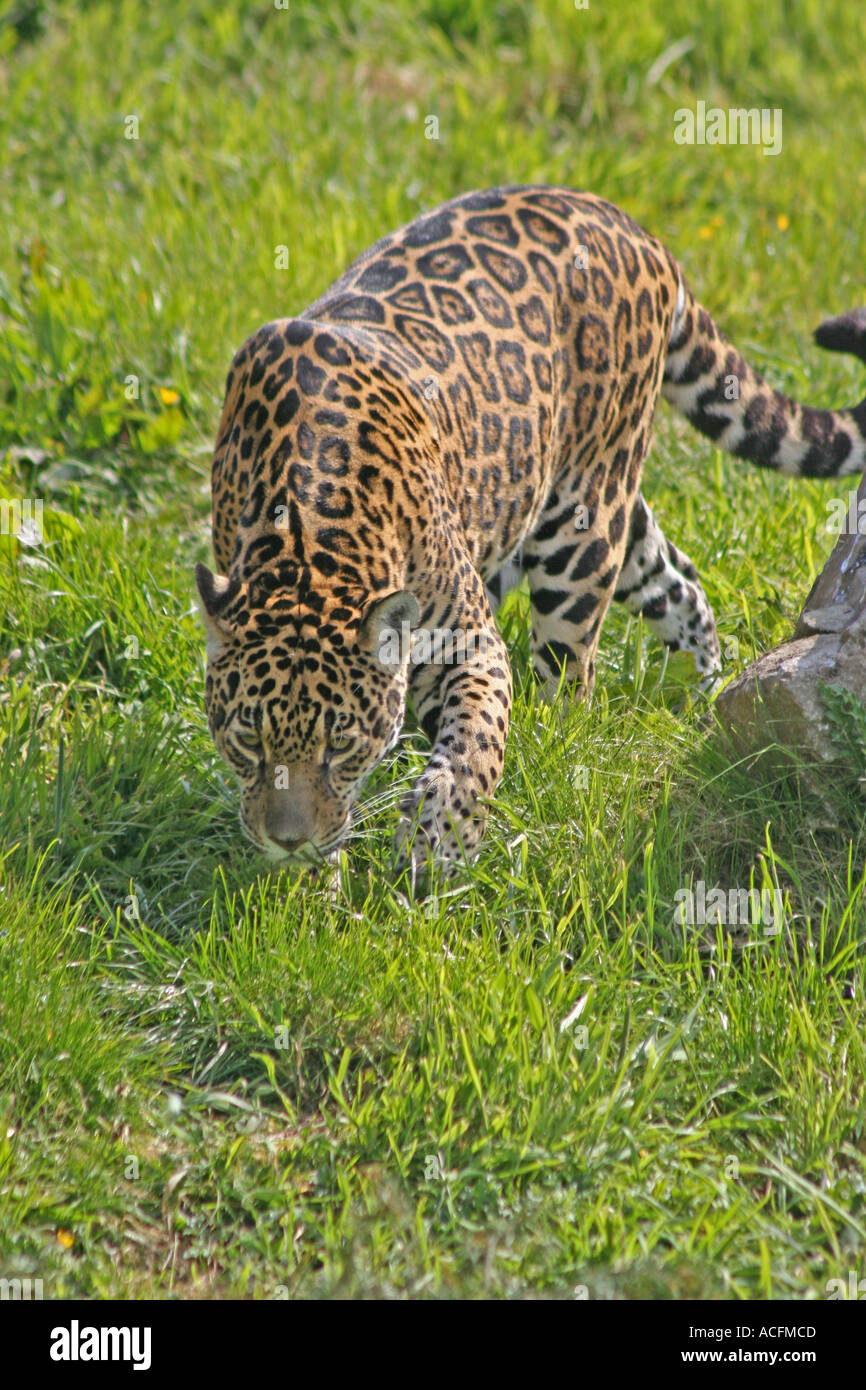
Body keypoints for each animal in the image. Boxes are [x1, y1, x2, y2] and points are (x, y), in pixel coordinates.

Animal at [195, 185, 866, 884]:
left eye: (342, 744)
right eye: (247, 739)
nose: (288, 840)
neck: (309, 528)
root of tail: (627, 222)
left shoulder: (468, 643)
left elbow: (475, 742)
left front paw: (436, 849)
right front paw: (315, 878)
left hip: (580, 534)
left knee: (569, 681)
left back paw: (560, 751)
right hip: (593, 504)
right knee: (677, 579)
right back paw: (700, 695)